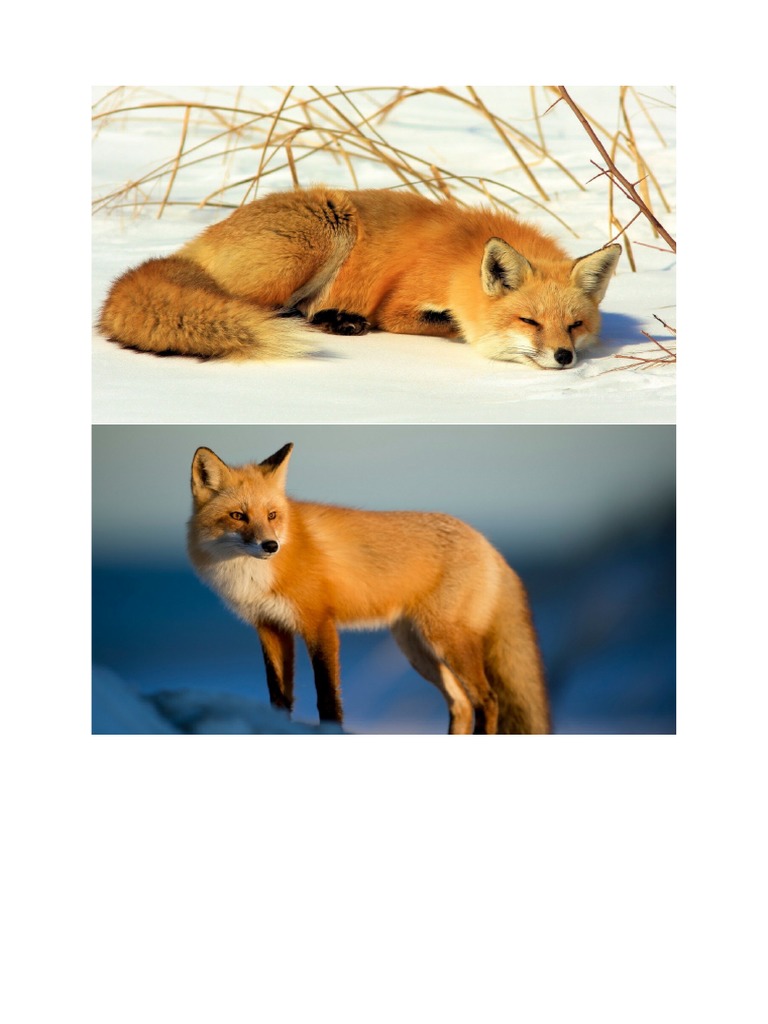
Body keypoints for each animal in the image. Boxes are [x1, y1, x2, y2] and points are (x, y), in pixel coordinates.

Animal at [100, 186, 621, 370]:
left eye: (574, 325)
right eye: (529, 322)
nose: (564, 357)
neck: (461, 262)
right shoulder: (399, 304)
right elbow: (449, 327)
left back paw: (336, 319)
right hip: (323, 233)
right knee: (260, 310)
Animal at [186, 443, 550, 734]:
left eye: (272, 515)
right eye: (238, 516)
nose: (270, 546)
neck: (253, 576)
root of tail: (488, 544)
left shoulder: (320, 624)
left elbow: (327, 697)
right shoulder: (270, 628)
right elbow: (279, 697)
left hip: (445, 641)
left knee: (487, 700)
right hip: (418, 650)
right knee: (461, 704)